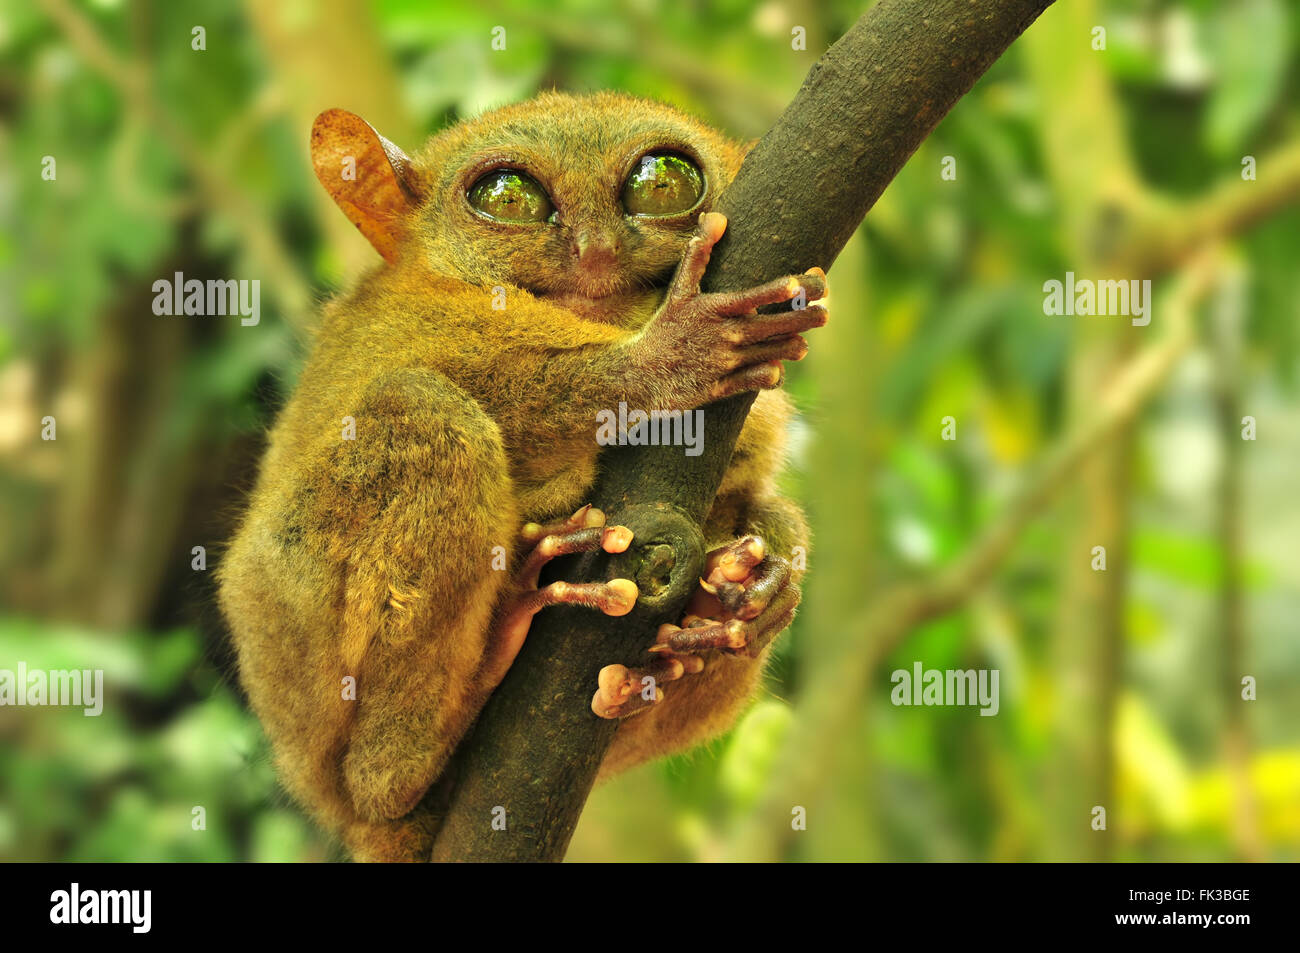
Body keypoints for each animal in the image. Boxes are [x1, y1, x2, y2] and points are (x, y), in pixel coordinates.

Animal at [217, 91, 828, 861]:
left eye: (663, 185)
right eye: (509, 199)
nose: (596, 249)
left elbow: (757, 457)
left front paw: (764, 571)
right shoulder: (405, 316)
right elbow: (498, 382)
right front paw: (680, 350)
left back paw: (702, 624)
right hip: (291, 649)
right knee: (422, 409)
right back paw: (428, 732)